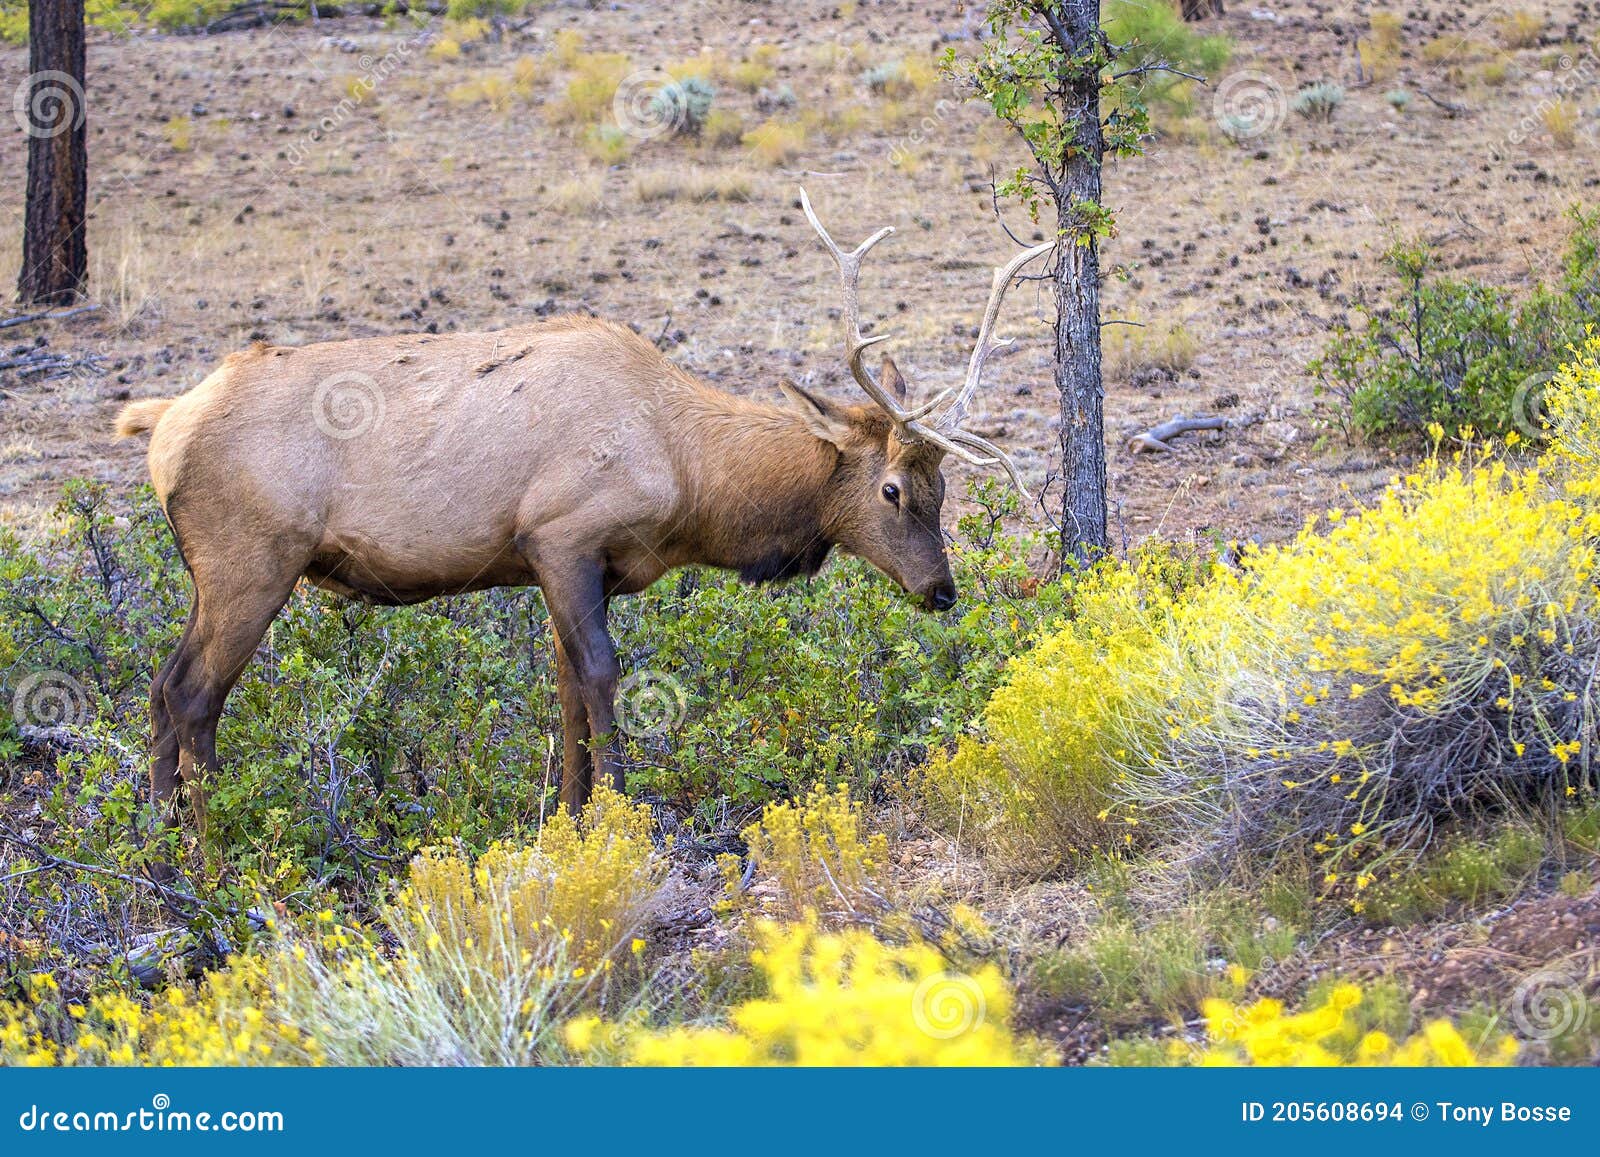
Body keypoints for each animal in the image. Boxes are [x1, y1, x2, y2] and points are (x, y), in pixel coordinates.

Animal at [113, 189, 1053, 843]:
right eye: (893, 489)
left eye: (945, 488)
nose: (941, 589)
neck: (689, 477)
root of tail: (161, 426)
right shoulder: (561, 534)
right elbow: (602, 677)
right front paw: (625, 813)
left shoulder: (566, 566)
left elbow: (564, 691)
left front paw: (565, 817)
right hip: (252, 559)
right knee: (192, 693)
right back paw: (205, 850)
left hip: (220, 571)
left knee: (160, 688)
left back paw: (152, 842)